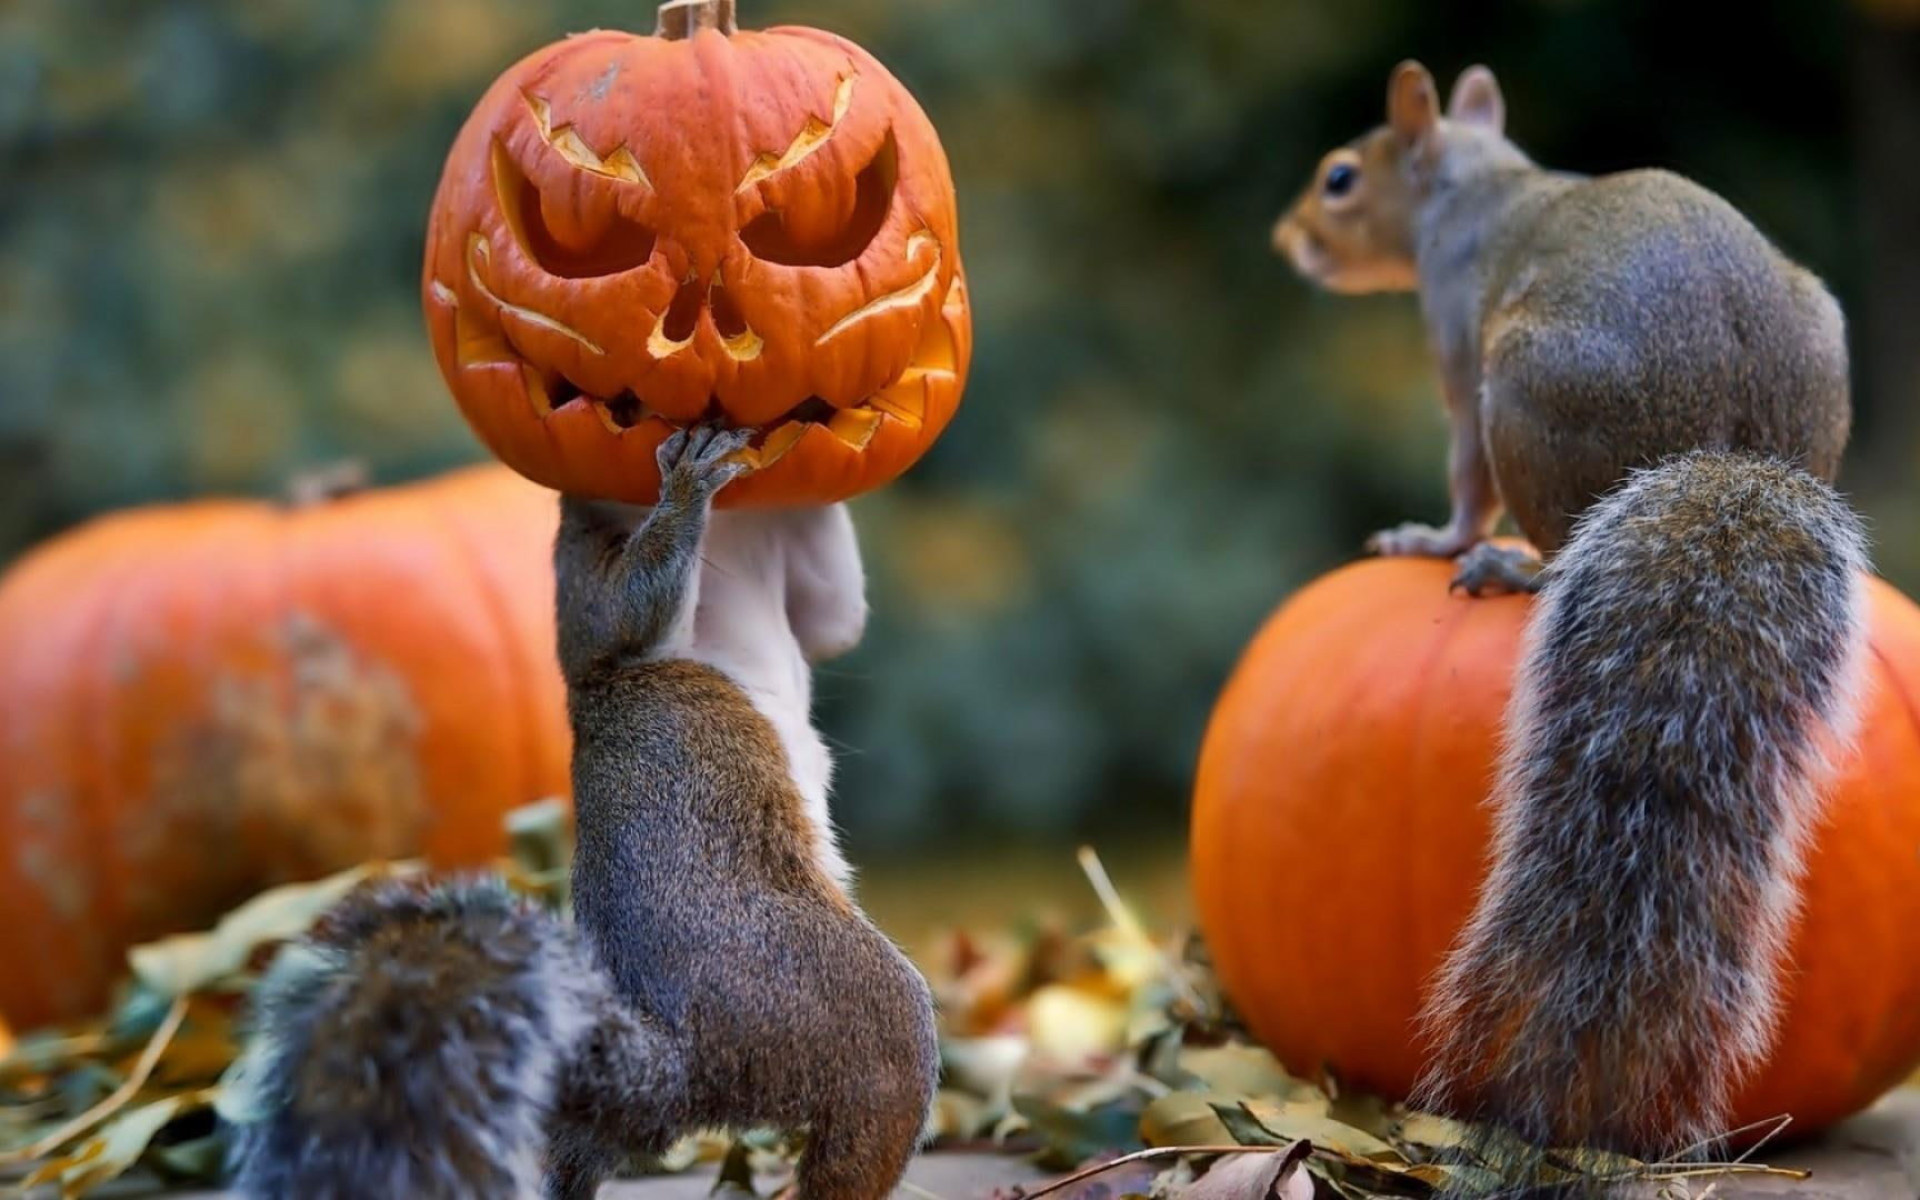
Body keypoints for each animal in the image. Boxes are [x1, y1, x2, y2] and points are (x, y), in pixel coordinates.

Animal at [227, 425, 939, 1200]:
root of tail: (684, 1066)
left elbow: (833, 617)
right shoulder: (582, 585)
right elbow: (625, 613)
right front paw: (685, 484)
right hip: (846, 1006)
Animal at [1274, 62, 1871, 1179]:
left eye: (1340, 178)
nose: (1288, 240)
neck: (1475, 185)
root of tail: (1733, 448)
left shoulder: (1455, 341)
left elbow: (1462, 475)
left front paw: (1435, 535)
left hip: (1525, 390)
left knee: (1544, 534)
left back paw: (1508, 564)